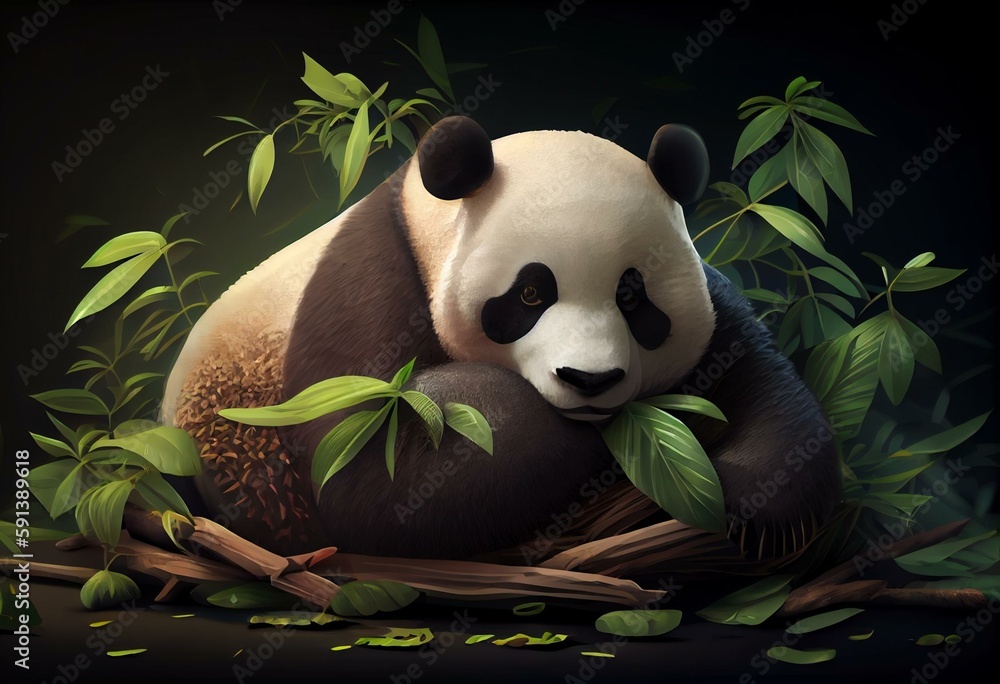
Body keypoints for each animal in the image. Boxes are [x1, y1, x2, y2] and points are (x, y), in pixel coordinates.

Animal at [163, 116, 840, 562]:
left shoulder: (711, 310)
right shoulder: (368, 285)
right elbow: (372, 472)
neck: (431, 213)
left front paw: (745, 497)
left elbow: (759, 385)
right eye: (530, 295)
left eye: (632, 296)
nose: (590, 381)